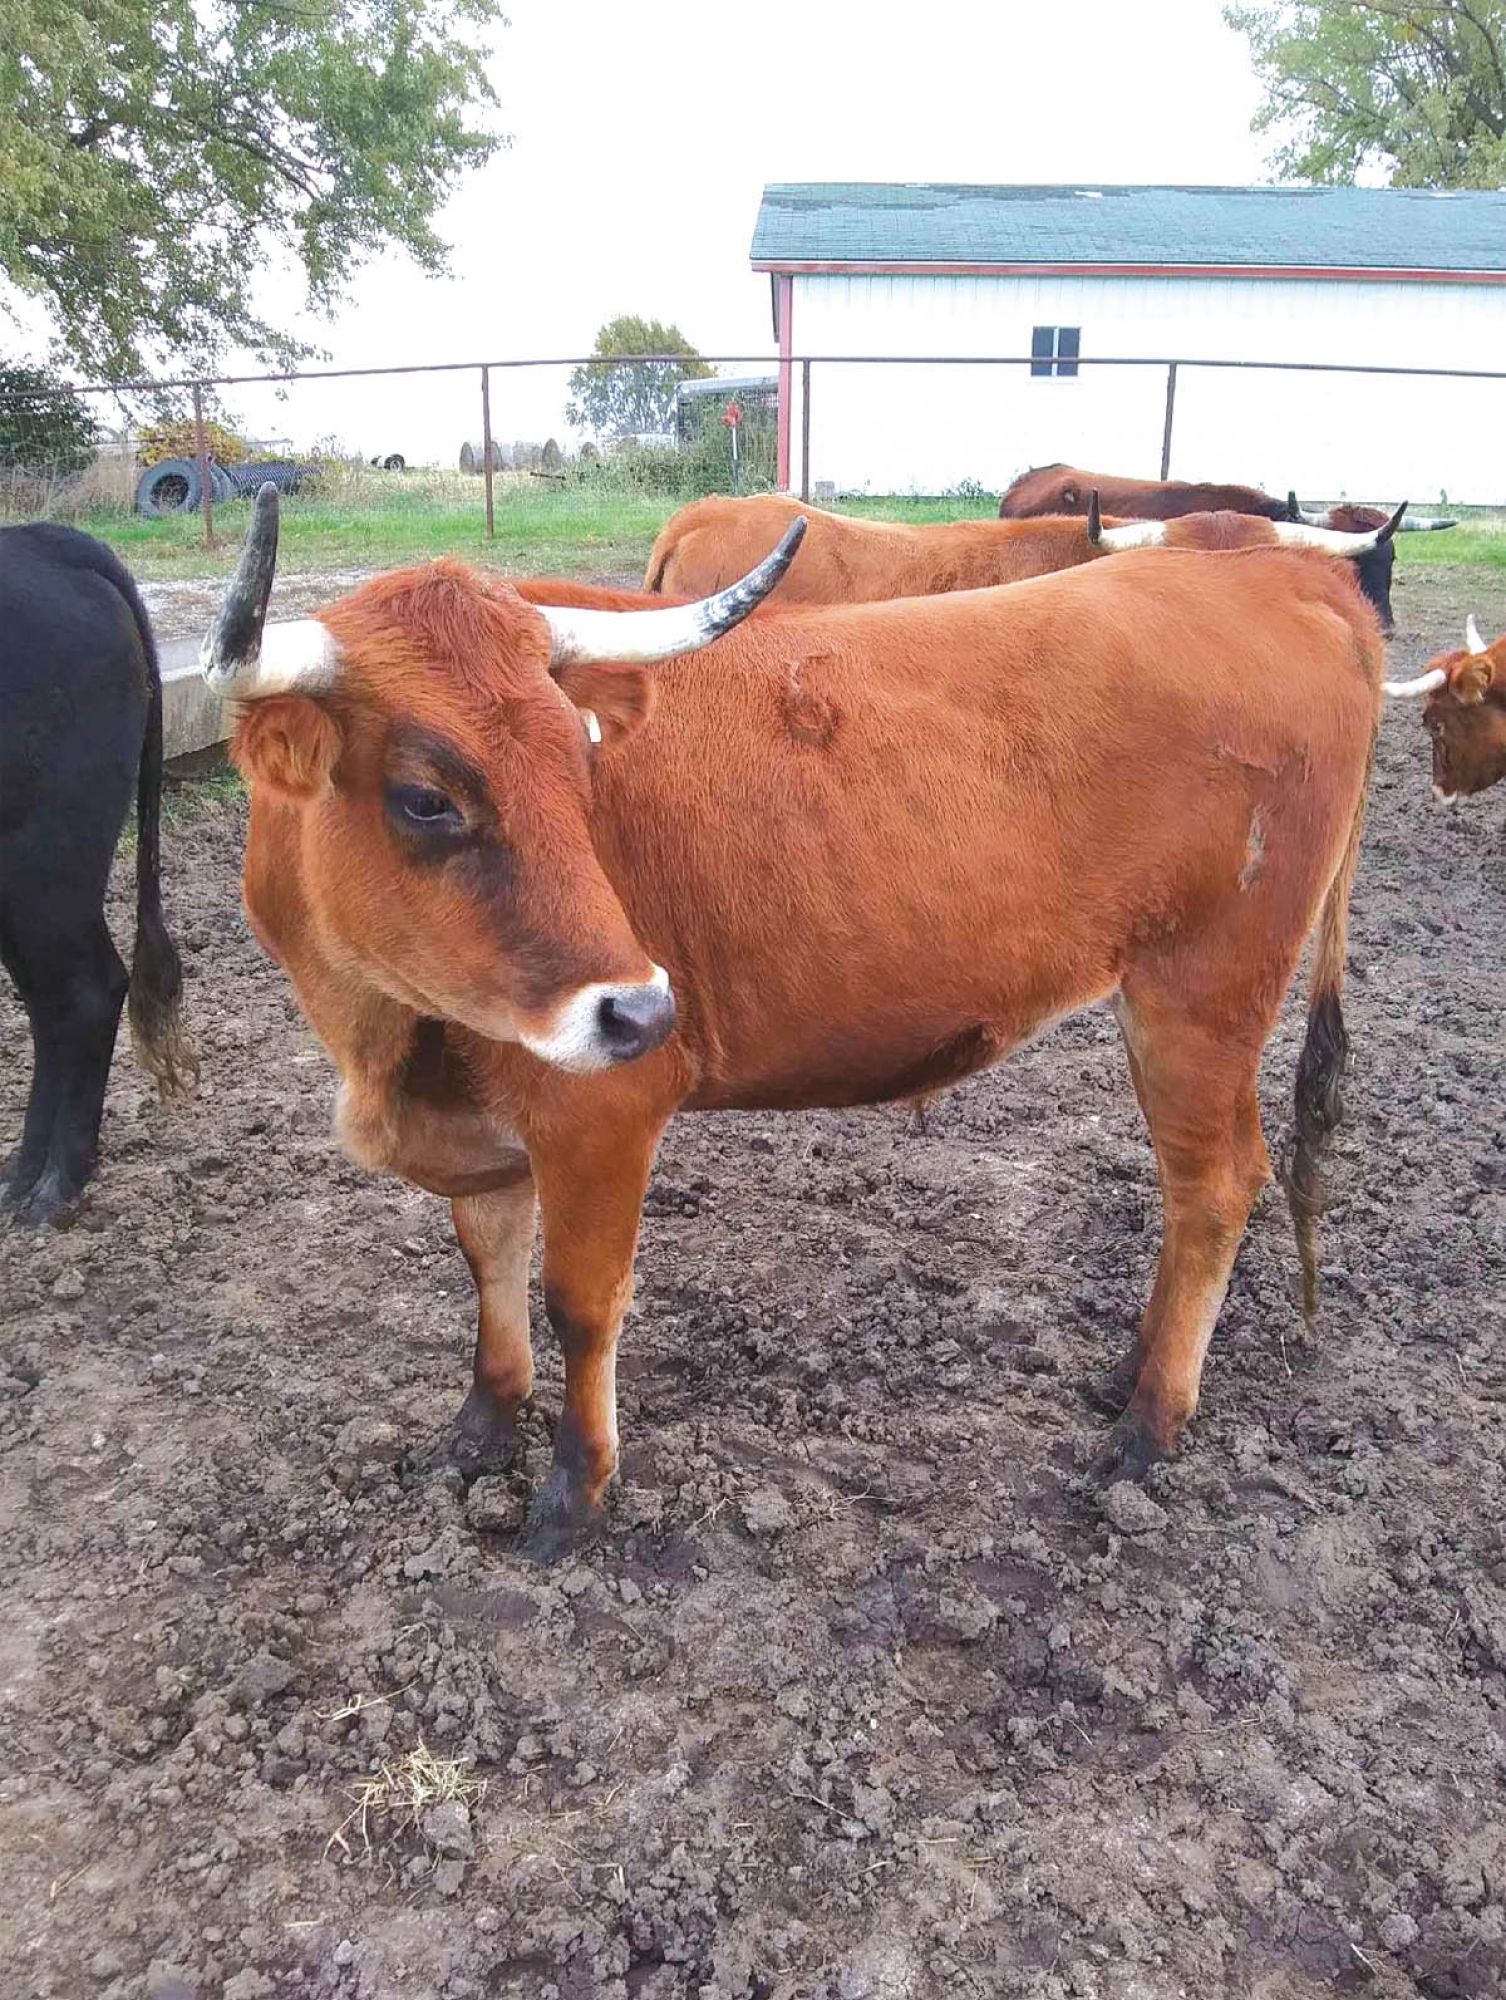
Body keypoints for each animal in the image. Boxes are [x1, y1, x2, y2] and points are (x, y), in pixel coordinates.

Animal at [1, 524, 192, 1224]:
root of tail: (42, 540)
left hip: (46, 853)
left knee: (84, 990)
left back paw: (55, 1185)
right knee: (51, 1002)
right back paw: (23, 1177)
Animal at [203, 485, 1383, 1560]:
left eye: (579, 762)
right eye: (425, 797)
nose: (644, 1006)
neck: (389, 1042)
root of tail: (1283, 580)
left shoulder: (600, 1114)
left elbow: (581, 1301)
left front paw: (573, 1498)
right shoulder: (483, 1118)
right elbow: (487, 1264)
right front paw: (481, 1430)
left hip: (1204, 990)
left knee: (1215, 1186)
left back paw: (1147, 1425)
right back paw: (1128, 1378)